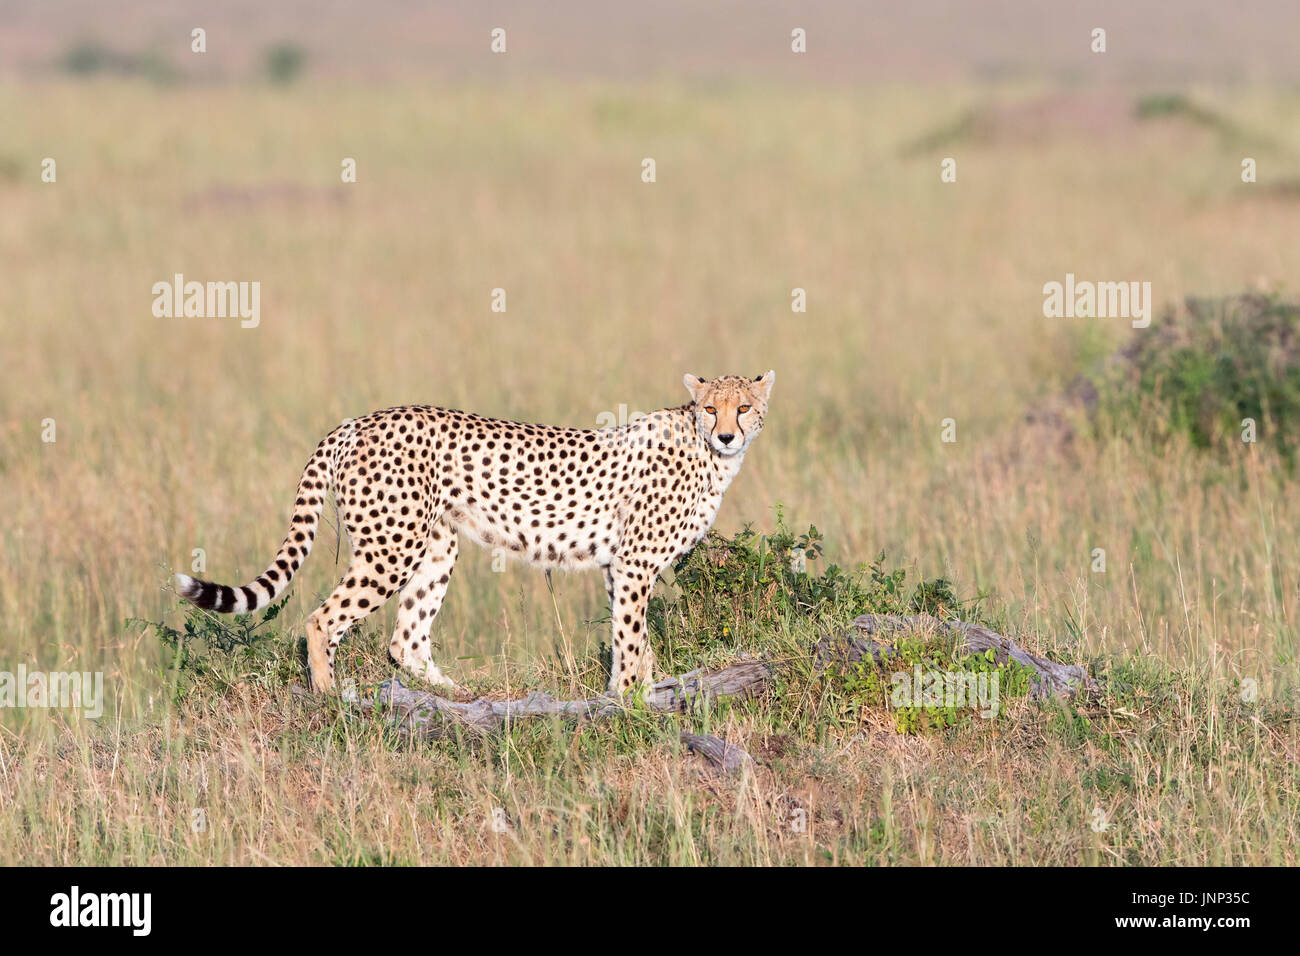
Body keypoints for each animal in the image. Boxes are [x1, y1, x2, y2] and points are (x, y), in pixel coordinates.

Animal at [174, 370, 775, 697]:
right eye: (711, 408)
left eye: (744, 407)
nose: (727, 435)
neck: (708, 455)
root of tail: (358, 420)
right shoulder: (633, 564)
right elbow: (631, 638)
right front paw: (628, 700)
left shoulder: (620, 564)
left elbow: (638, 640)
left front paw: (643, 688)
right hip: (391, 546)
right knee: (322, 619)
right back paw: (327, 696)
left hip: (436, 546)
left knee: (406, 638)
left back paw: (459, 694)